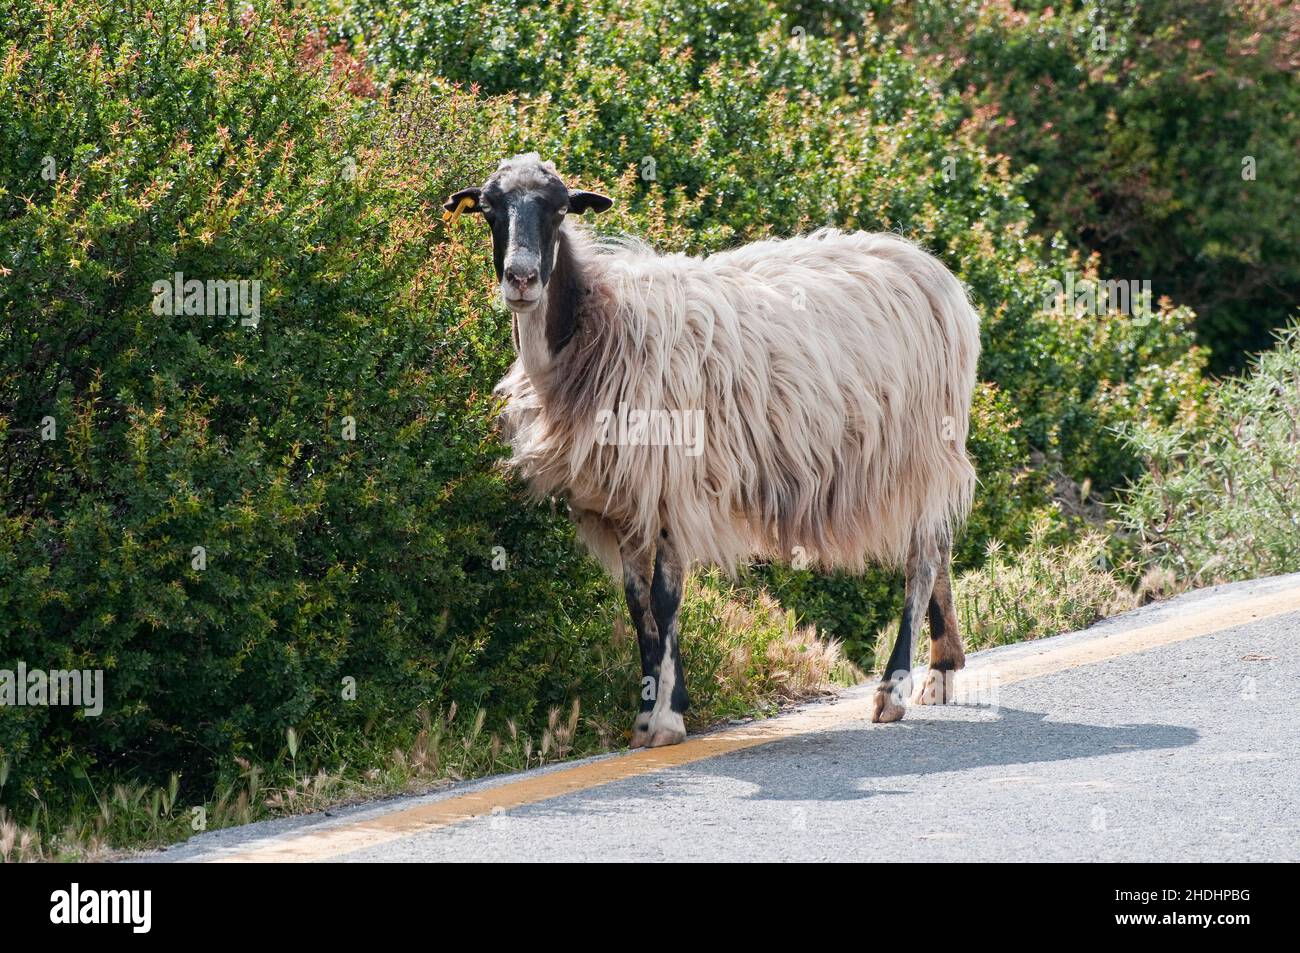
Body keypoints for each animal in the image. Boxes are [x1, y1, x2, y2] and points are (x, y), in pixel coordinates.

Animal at [445, 153, 979, 748]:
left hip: (919, 446)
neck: (599, 322)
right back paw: (944, 668)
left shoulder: (670, 481)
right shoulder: (628, 497)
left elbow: (664, 598)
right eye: (489, 209)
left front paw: (666, 718)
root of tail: (931, 269)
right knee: (940, 546)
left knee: (922, 560)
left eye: (560, 209)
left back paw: (895, 687)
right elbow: (638, 603)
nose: (521, 279)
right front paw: (650, 713)